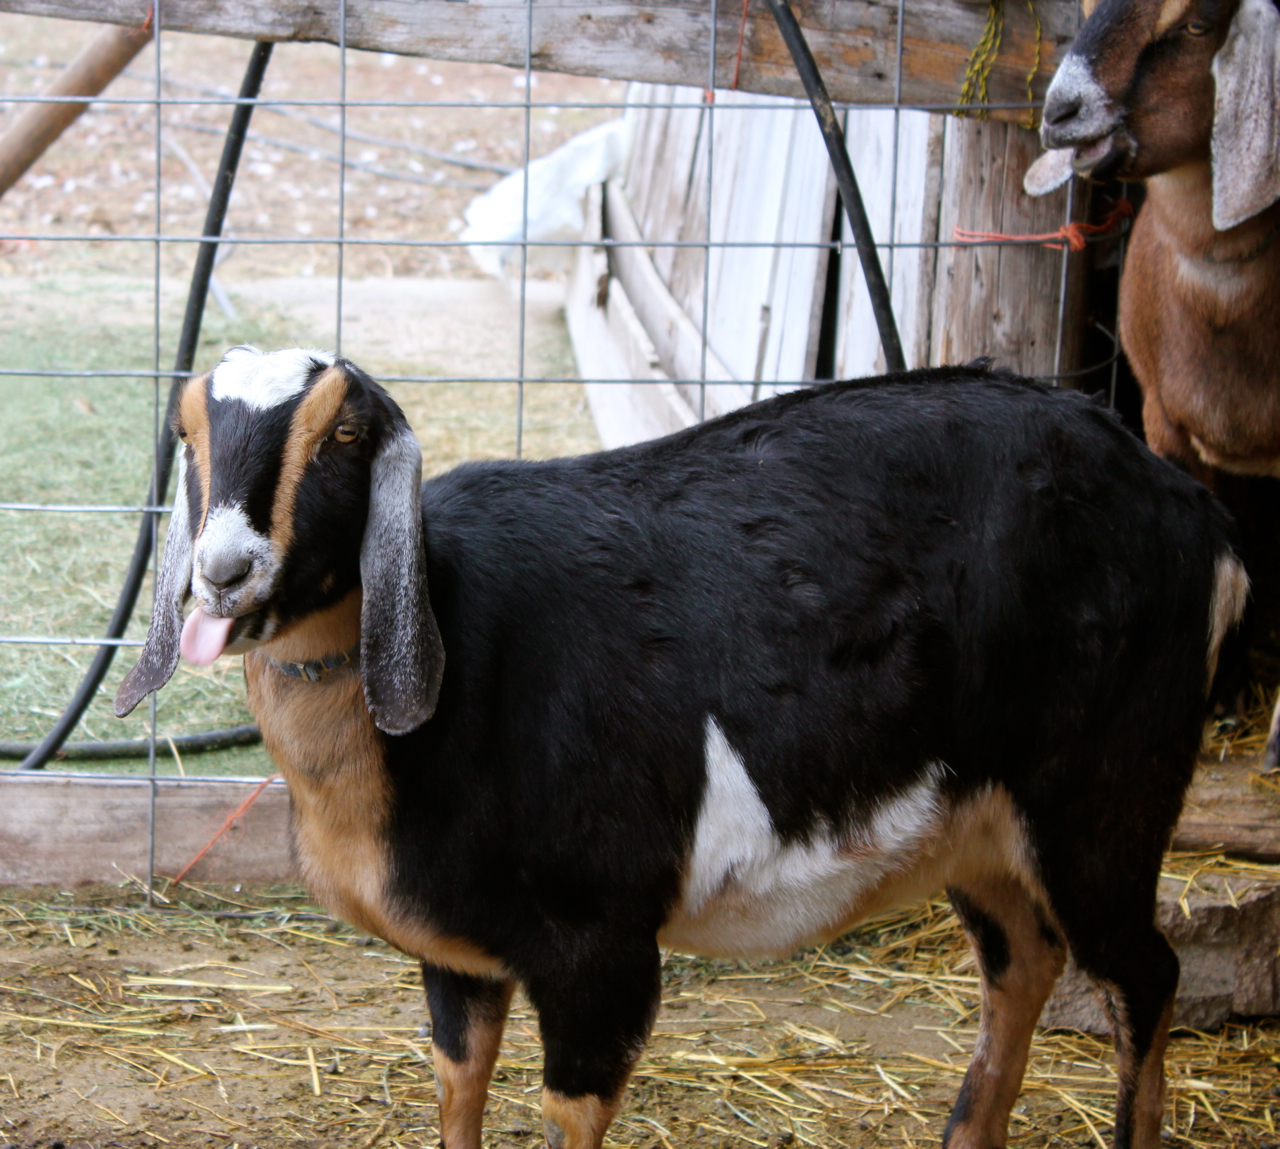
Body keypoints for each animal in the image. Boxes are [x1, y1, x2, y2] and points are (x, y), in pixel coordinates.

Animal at [116, 346, 1244, 1149]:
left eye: (343, 434)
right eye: (188, 433)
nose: (224, 572)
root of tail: (1190, 511)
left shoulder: (599, 949)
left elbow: (571, 1109)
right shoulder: (458, 958)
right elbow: (457, 1088)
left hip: (1103, 796)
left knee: (1142, 973)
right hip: (978, 819)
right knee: (1023, 957)